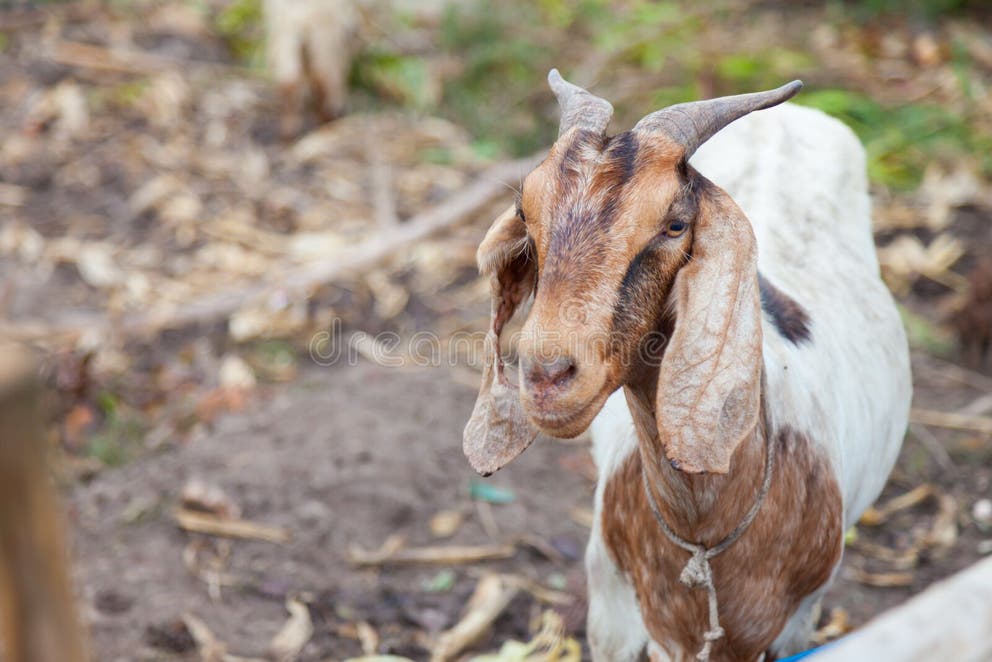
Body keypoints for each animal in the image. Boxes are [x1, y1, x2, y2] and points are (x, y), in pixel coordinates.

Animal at [463, 70, 912, 661]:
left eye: (675, 226)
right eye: (525, 215)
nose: (548, 376)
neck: (704, 534)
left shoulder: (796, 625)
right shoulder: (612, 617)